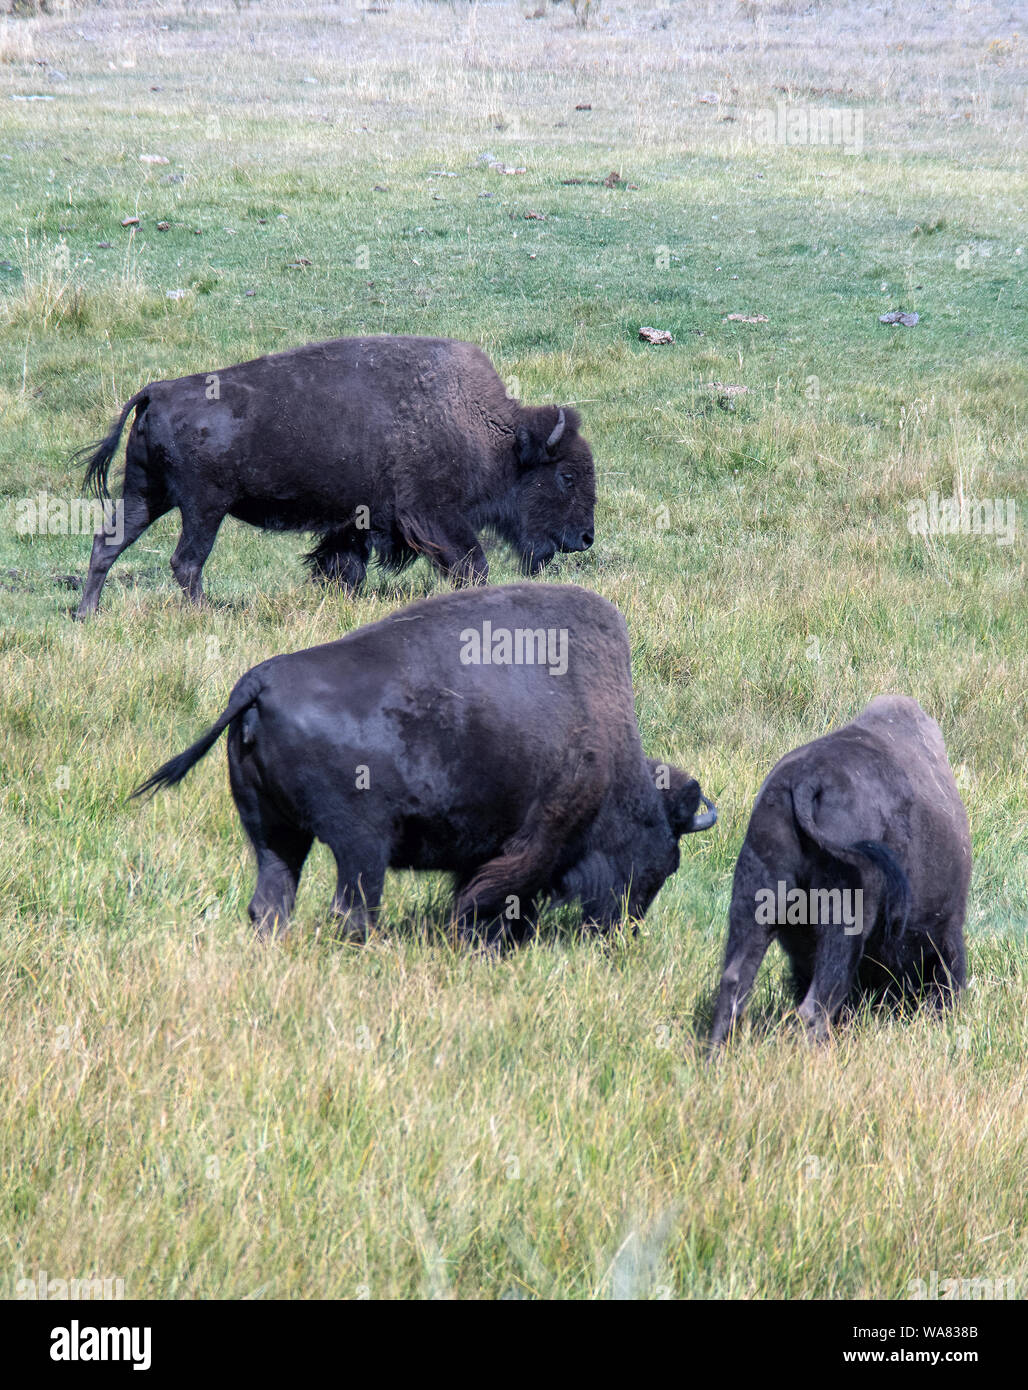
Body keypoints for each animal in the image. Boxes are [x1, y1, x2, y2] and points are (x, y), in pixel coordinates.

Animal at [75, 335, 596, 617]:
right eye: (567, 477)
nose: (586, 537)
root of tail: (158, 391)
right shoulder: (434, 515)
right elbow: (473, 564)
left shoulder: (357, 522)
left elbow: (345, 565)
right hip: (204, 508)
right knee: (186, 561)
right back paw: (205, 615)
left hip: (147, 495)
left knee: (107, 544)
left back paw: (87, 614)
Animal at [132, 583, 716, 945]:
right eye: (666, 859)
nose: (623, 933)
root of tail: (258, 684)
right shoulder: (533, 844)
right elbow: (491, 898)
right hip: (360, 845)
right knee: (353, 909)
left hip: (274, 833)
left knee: (272, 901)